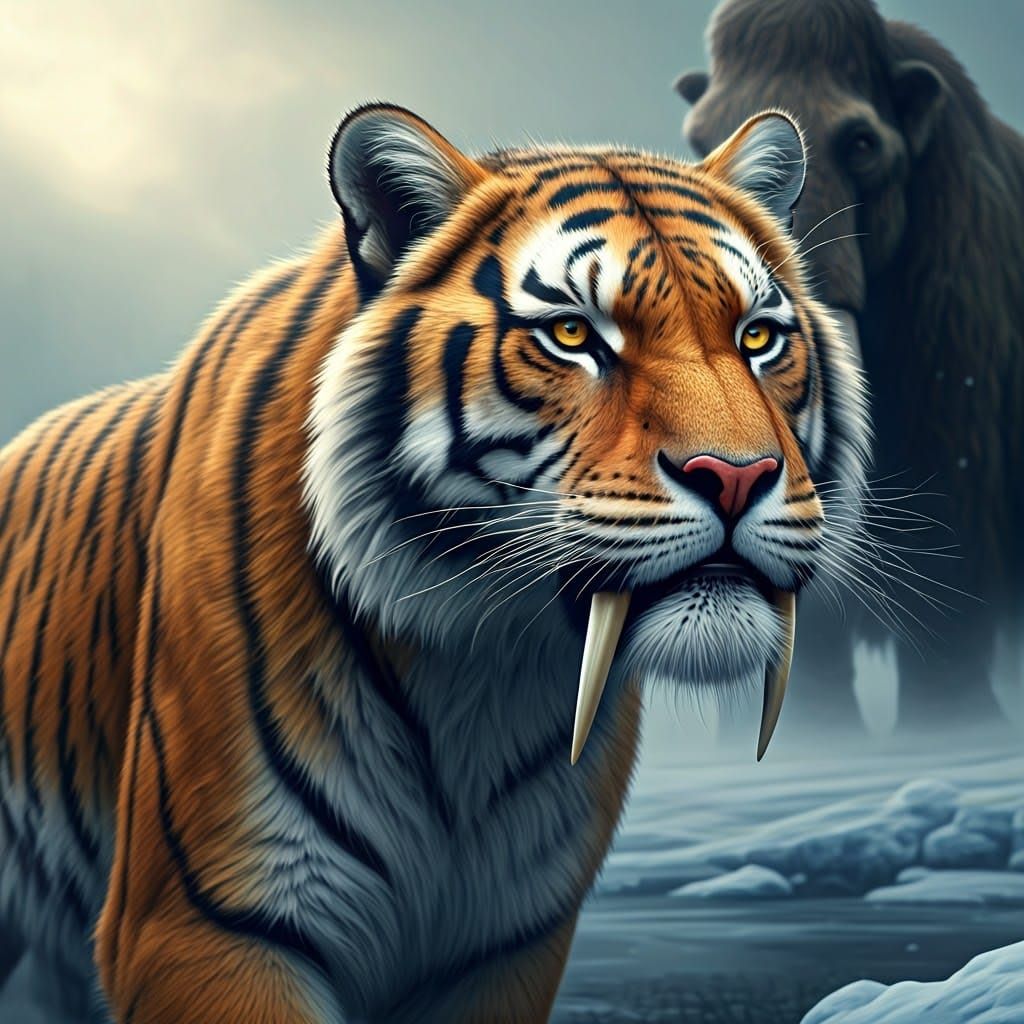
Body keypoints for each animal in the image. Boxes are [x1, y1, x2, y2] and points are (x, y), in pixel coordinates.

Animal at [0, 103, 869, 1022]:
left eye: (757, 337)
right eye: (572, 334)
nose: (736, 476)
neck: (482, 670)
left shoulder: (506, 947)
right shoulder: (205, 925)